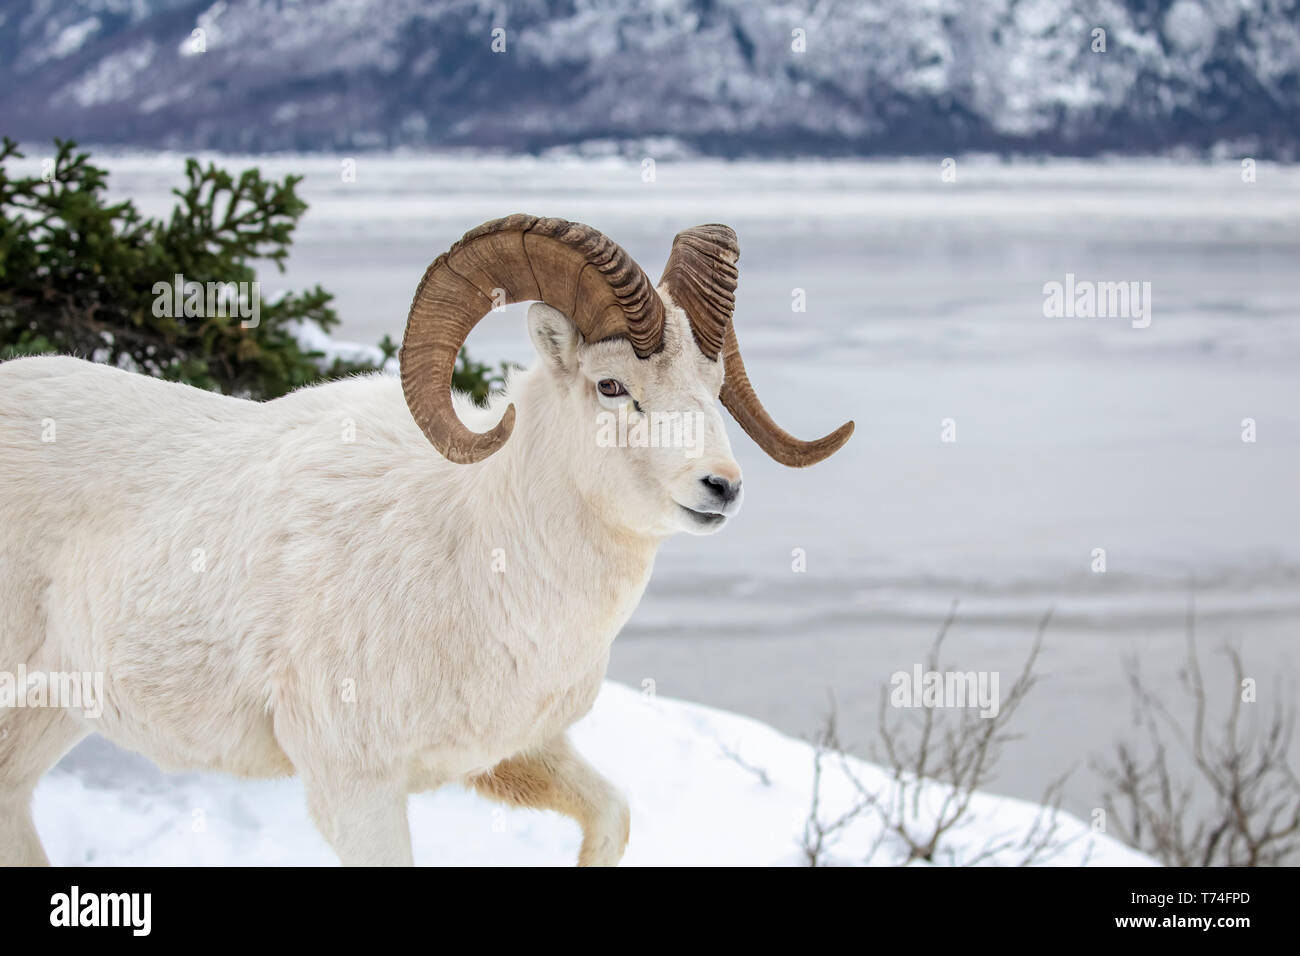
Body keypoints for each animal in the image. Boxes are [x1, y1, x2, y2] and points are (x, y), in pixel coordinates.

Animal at [0, 215, 852, 866]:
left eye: (714, 388)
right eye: (613, 386)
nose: (722, 488)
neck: (477, 559)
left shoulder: (513, 757)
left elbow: (612, 815)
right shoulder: (354, 787)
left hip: (48, 715)